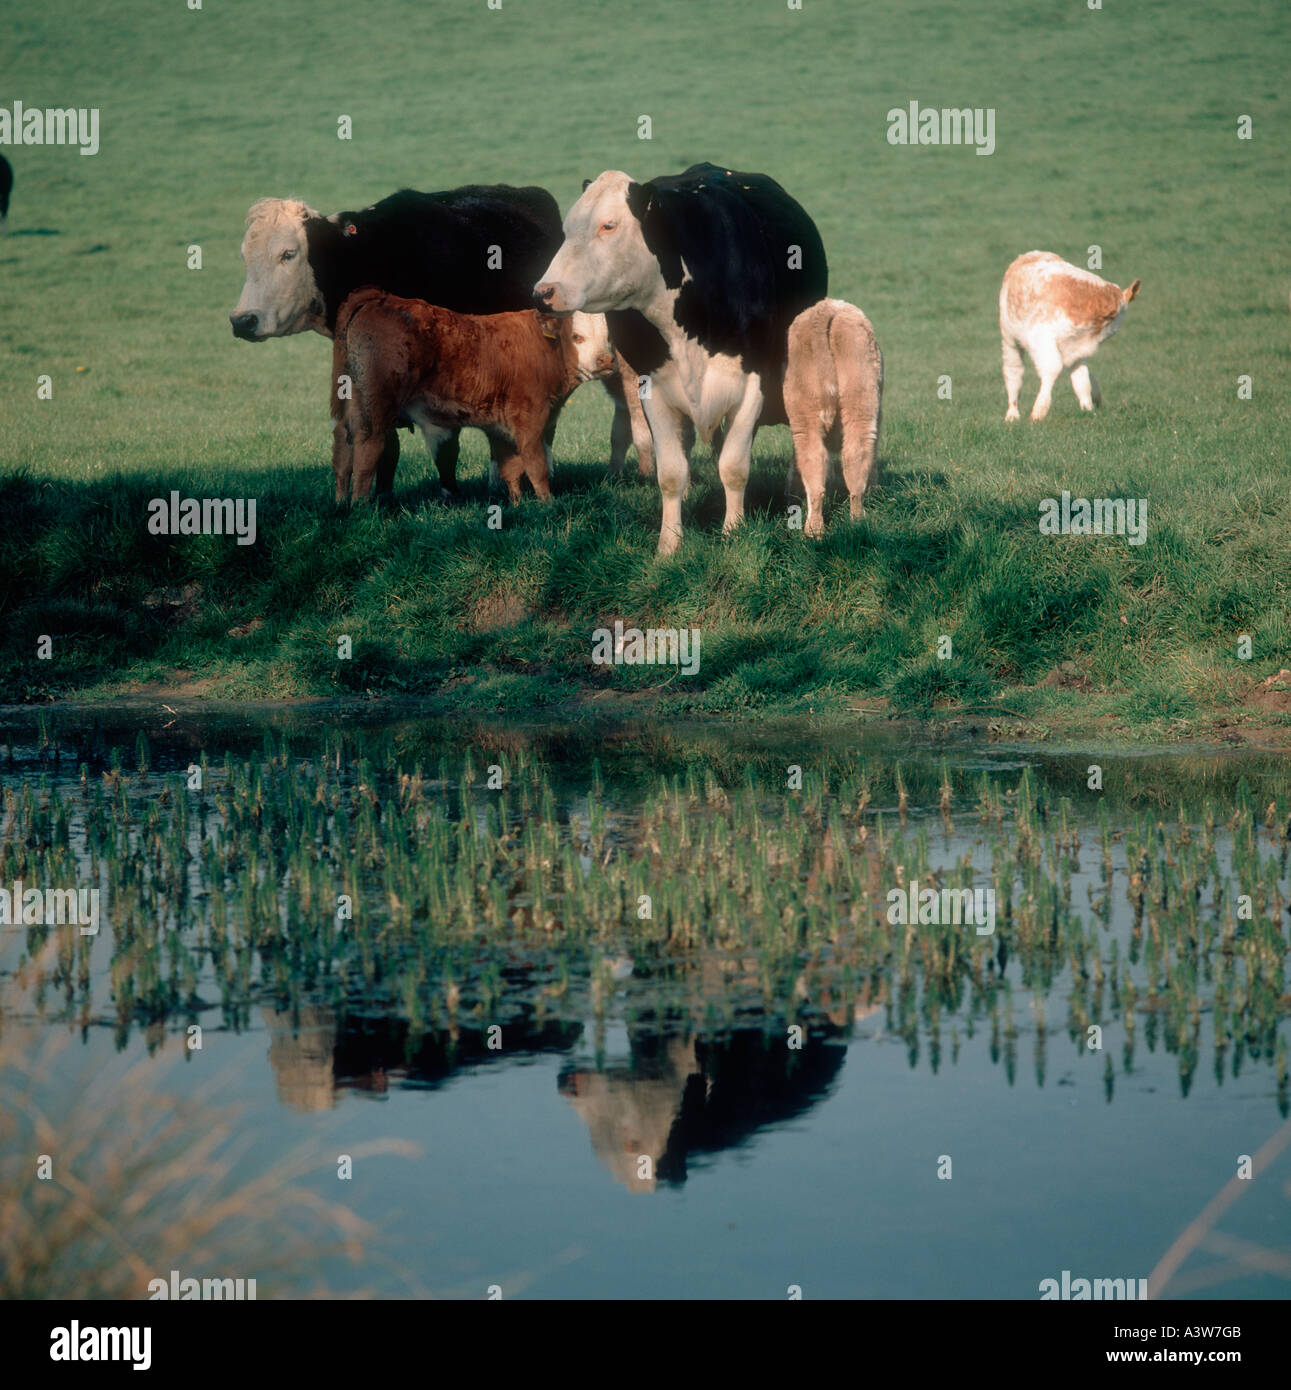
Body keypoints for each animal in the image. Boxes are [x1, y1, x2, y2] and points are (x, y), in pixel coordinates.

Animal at [329, 288, 616, 505]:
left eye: (608, 336)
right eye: (577, 337)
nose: (606, 359)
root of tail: (381, 297)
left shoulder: (502, 428)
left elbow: (510, 468)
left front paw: (517, 504)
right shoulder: (531, 421)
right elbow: (537, 466)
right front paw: (547, 505)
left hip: (350, 402)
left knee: (343, 446)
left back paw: (341, 502)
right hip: (376, 409)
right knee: (368, 449)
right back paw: (361, 506)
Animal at [534, 162, 829, 555]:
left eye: (609, 225)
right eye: (568, 228)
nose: (543, 292)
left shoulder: (754, 380)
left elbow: (734, 466)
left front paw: (732, 532)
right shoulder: (652, 385)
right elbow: (671, 472)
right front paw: (669, 546)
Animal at [783, 299, 884, 537]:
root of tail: (827, 308)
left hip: (807, 417)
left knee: (815, 461)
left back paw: (815, 529)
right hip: (862, 408)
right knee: (856, 455)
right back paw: (857, 518)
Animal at [1000, 251, 1141, 422]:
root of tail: (1031, 254)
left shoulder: (1078, 350)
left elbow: (1082, 381)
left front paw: (1088, 409)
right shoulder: (1040, 338)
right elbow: (1052, 369)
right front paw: (1039, 411)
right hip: (1009, 339)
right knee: (1014, 372)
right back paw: (1012, 414)